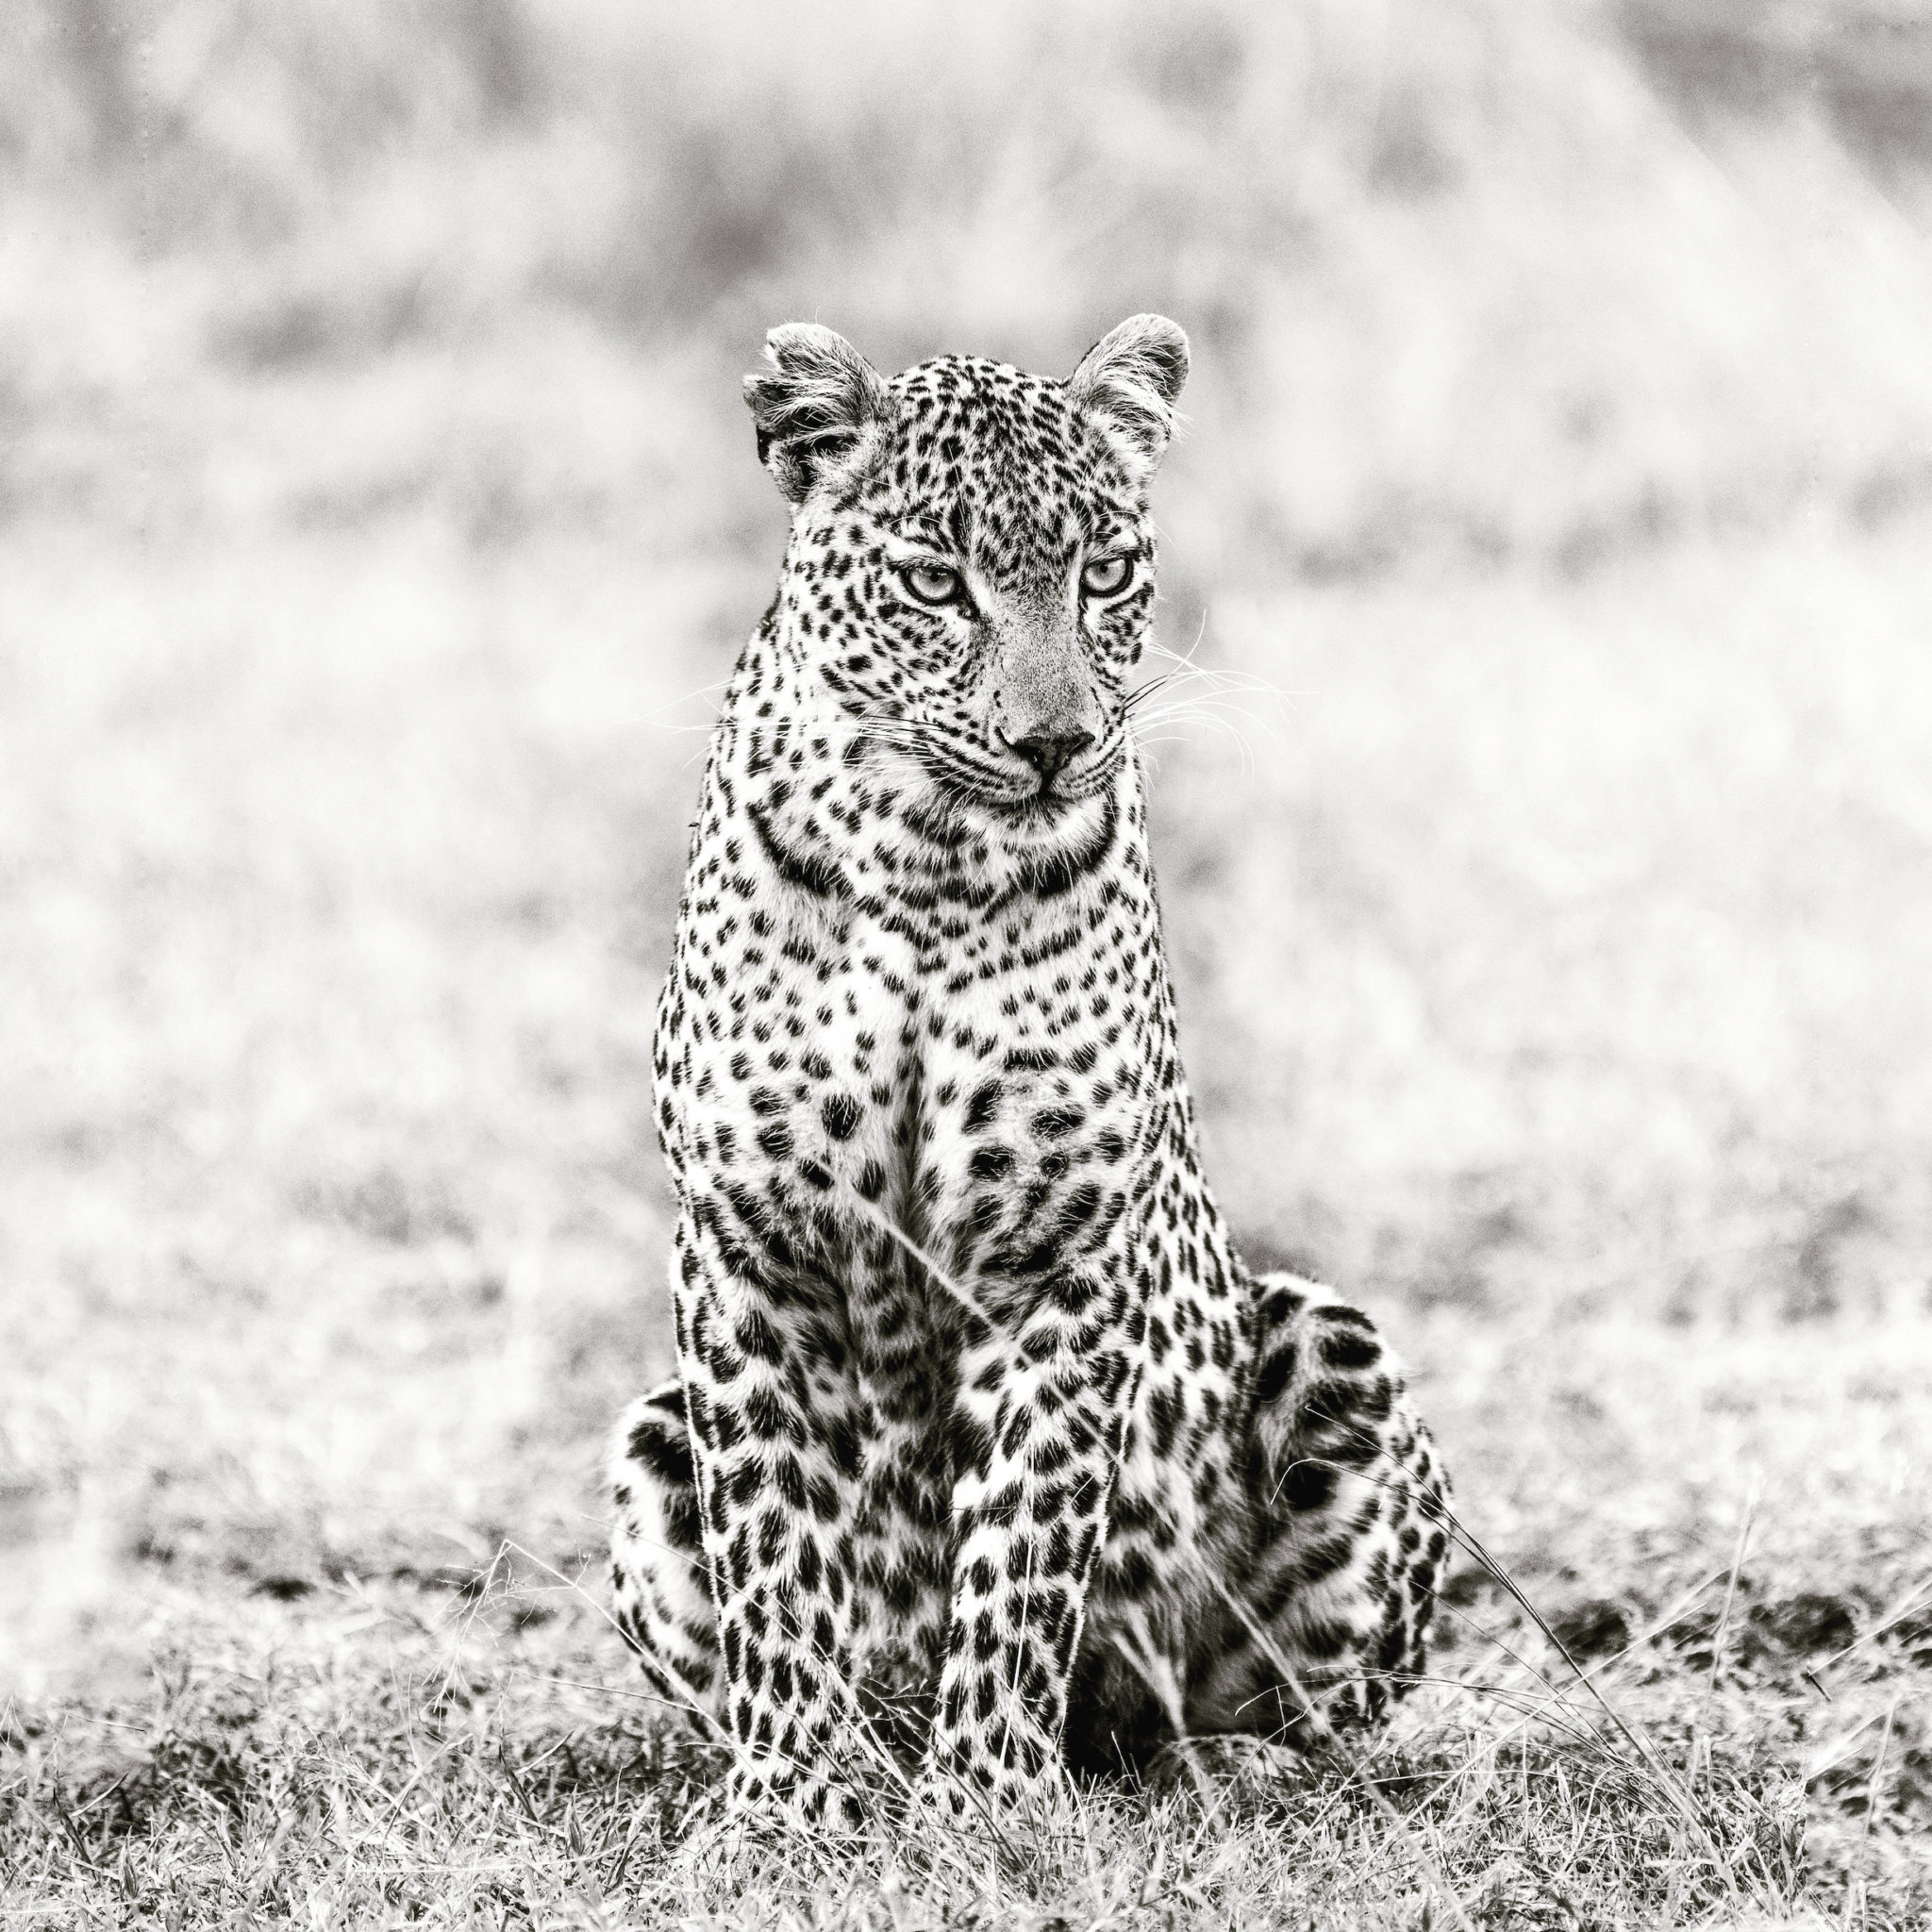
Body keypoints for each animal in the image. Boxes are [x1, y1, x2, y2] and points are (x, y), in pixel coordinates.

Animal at [609, 315, 1452, 1838]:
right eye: (935, 582)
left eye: (1103, 571)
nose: (1054, 743)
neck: (925, 860)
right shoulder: (748, 1244)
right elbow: (775, 1551)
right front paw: (782, 1803)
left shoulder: (1056, 1251)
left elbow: (1022, 1544)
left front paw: (989, 1802)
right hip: (647, 1438)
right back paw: (871, 1755)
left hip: (1326, 1341)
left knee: (1294, 1710)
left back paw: (1214, 1768)